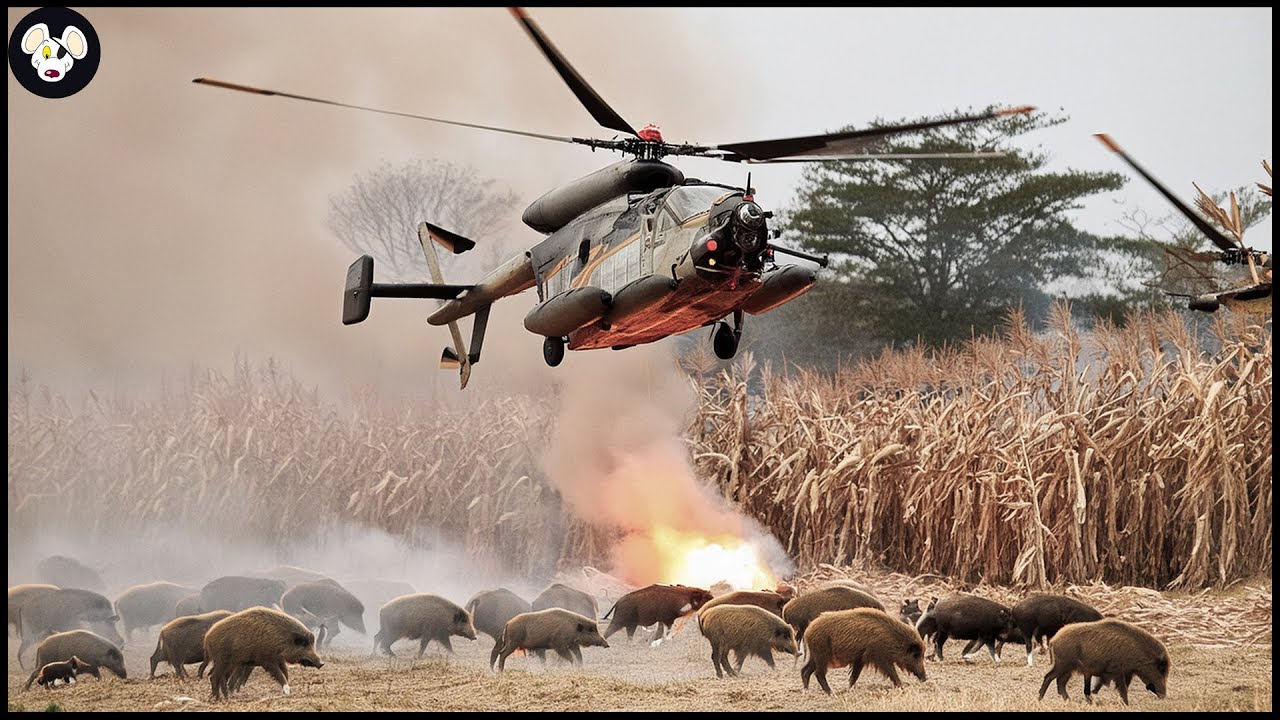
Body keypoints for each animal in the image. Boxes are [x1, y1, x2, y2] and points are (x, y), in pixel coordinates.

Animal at [1039, 619, 1169, 705]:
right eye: (1161, 670)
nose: (1163, 695)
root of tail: (1054, 640)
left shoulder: (1121, 673)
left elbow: (1104, 685)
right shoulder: (1117, 671)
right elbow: (1123, 688)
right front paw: (1126, 704)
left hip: (1068, 669)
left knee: (1060, 683)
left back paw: (1070, 701)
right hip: (1063, 665)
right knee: (1049, 677)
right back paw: (1040, 698)